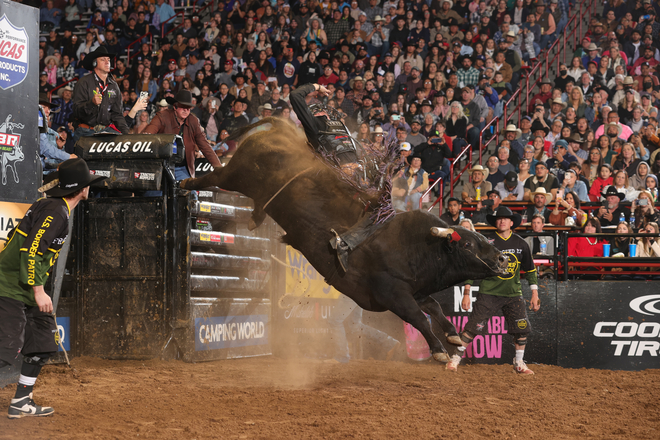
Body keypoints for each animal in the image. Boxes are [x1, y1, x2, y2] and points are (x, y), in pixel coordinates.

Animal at [181, 117, 508, 362]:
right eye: (467, 244)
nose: (503, 258)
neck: (415, 247)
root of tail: (279, 131)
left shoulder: (415, 290)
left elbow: (435, 309)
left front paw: (453, 335)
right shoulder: (394, 294)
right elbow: (420, 318)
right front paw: (440, 350)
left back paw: (253, 216)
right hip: (238, 175)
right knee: (216, 176)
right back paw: (187, 181)